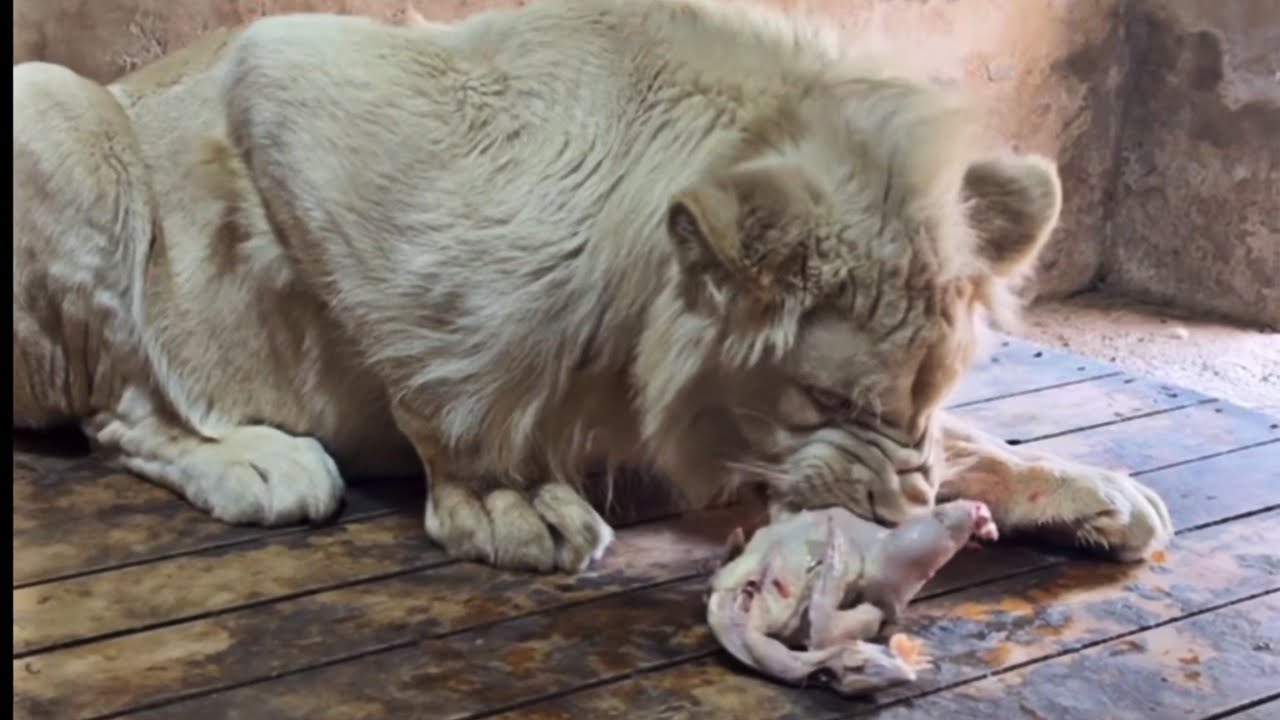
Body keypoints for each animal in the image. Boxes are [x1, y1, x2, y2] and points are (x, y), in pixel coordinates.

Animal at [12, 0, 1172, 573]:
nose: (902, 516)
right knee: (121, 409)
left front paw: (1082, 486)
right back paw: (258, 462)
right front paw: (507, 500)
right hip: (58, 111)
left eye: (926, 396)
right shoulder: (290, 75)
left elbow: (970, 443)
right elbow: (443, 367)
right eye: (823, 398)